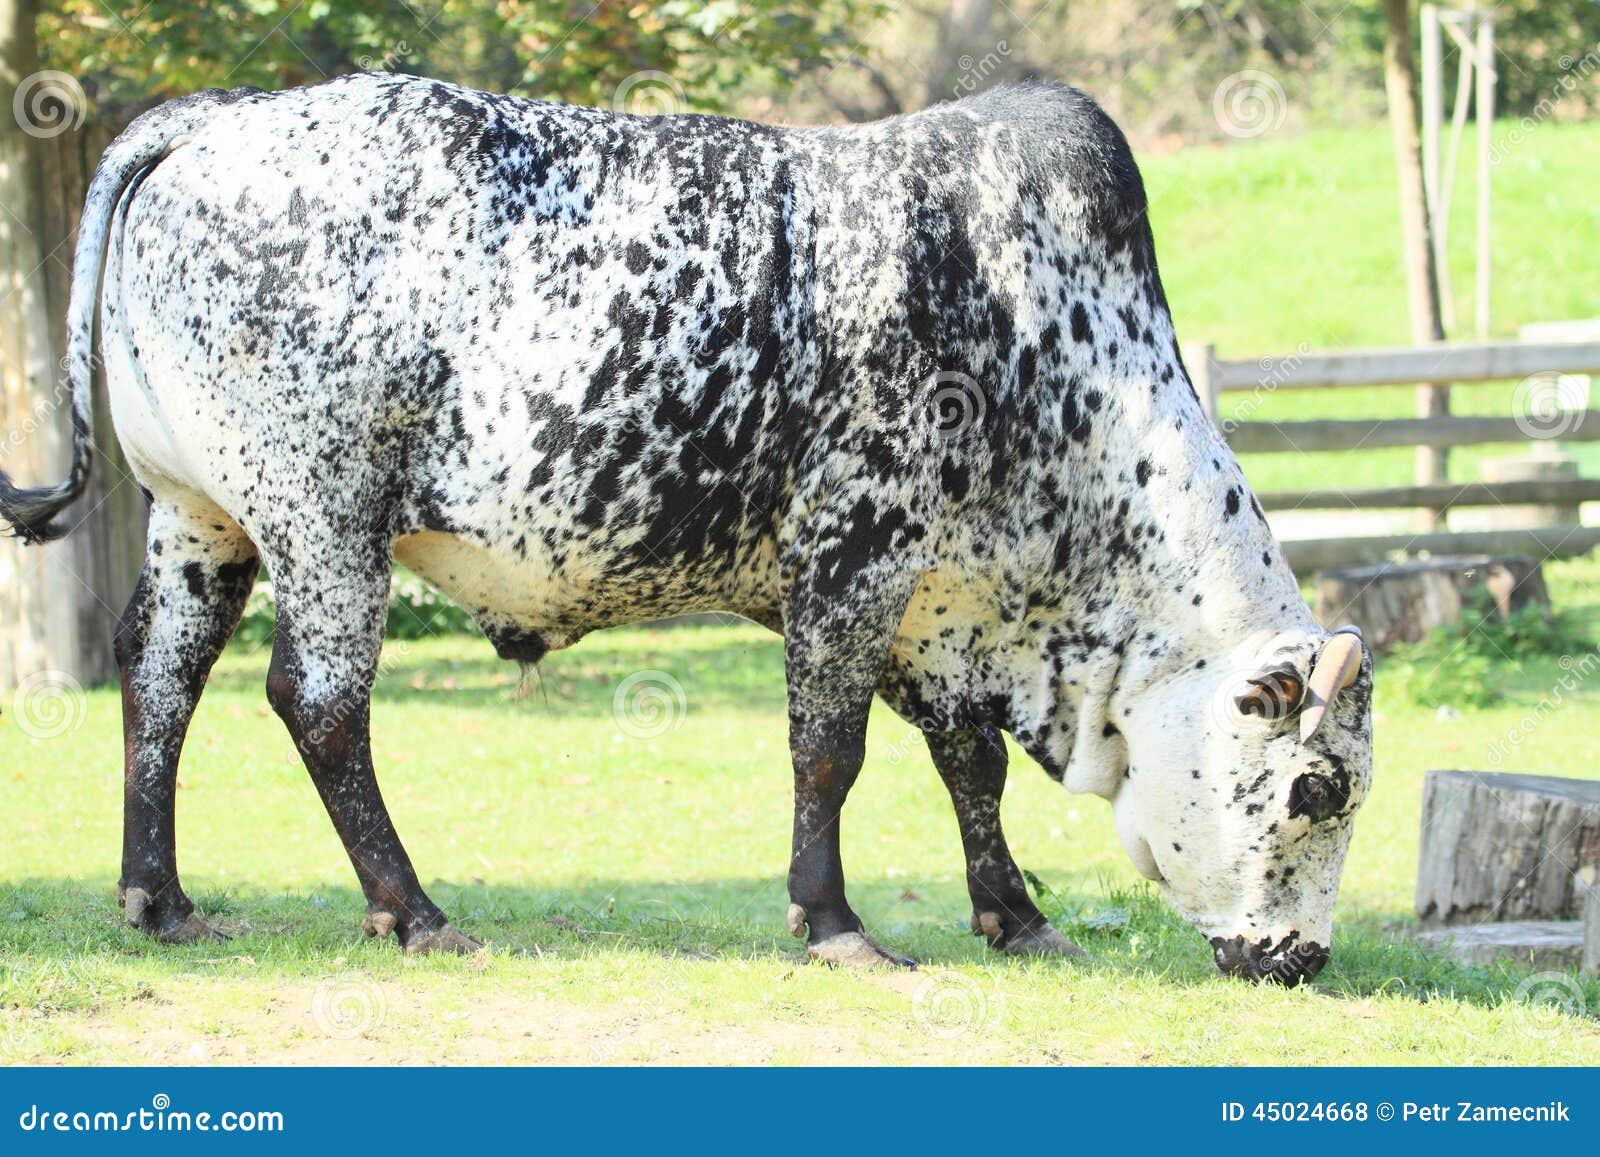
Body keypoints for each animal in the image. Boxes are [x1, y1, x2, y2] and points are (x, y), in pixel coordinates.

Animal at [0, 73, 1371, 983]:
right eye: (1314, 788)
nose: (1296, 956)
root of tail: (213, 118)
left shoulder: (938, 601)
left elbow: (966, 760)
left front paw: (1016, 912)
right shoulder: (853, 560)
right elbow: (829, 754)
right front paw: (835, 922)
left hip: (200, 521)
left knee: (159, 675)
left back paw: (160, 897)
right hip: (327, 515)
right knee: (317, 701)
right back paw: (414, 906)